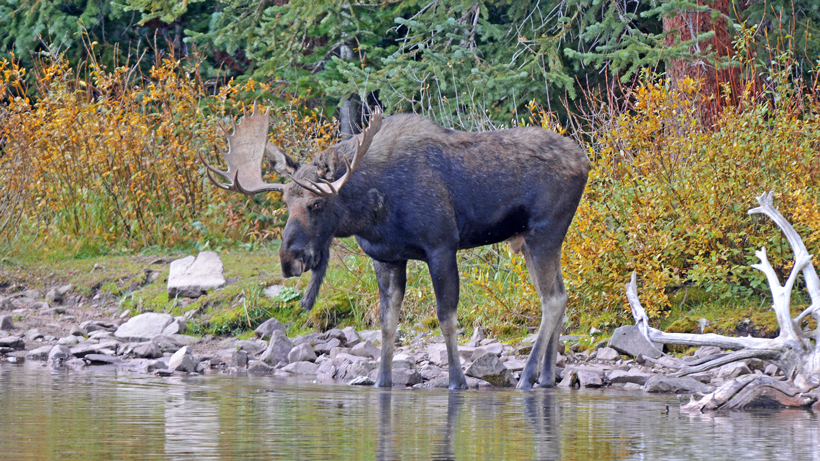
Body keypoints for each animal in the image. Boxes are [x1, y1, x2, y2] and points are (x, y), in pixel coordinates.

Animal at [201, 104, 589, 389]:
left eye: (316, 204)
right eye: (285, 202)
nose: (289, 260)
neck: (371, 213)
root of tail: (585, 161)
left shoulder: (441, 245)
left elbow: (445, 316)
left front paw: (457, 381)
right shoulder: (386, 257)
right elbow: (388, 321)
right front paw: (381, 381)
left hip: (544, 232)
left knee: (552, 299)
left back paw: (527, 377)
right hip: (530, 241)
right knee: (561, 293)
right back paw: (547, 377)